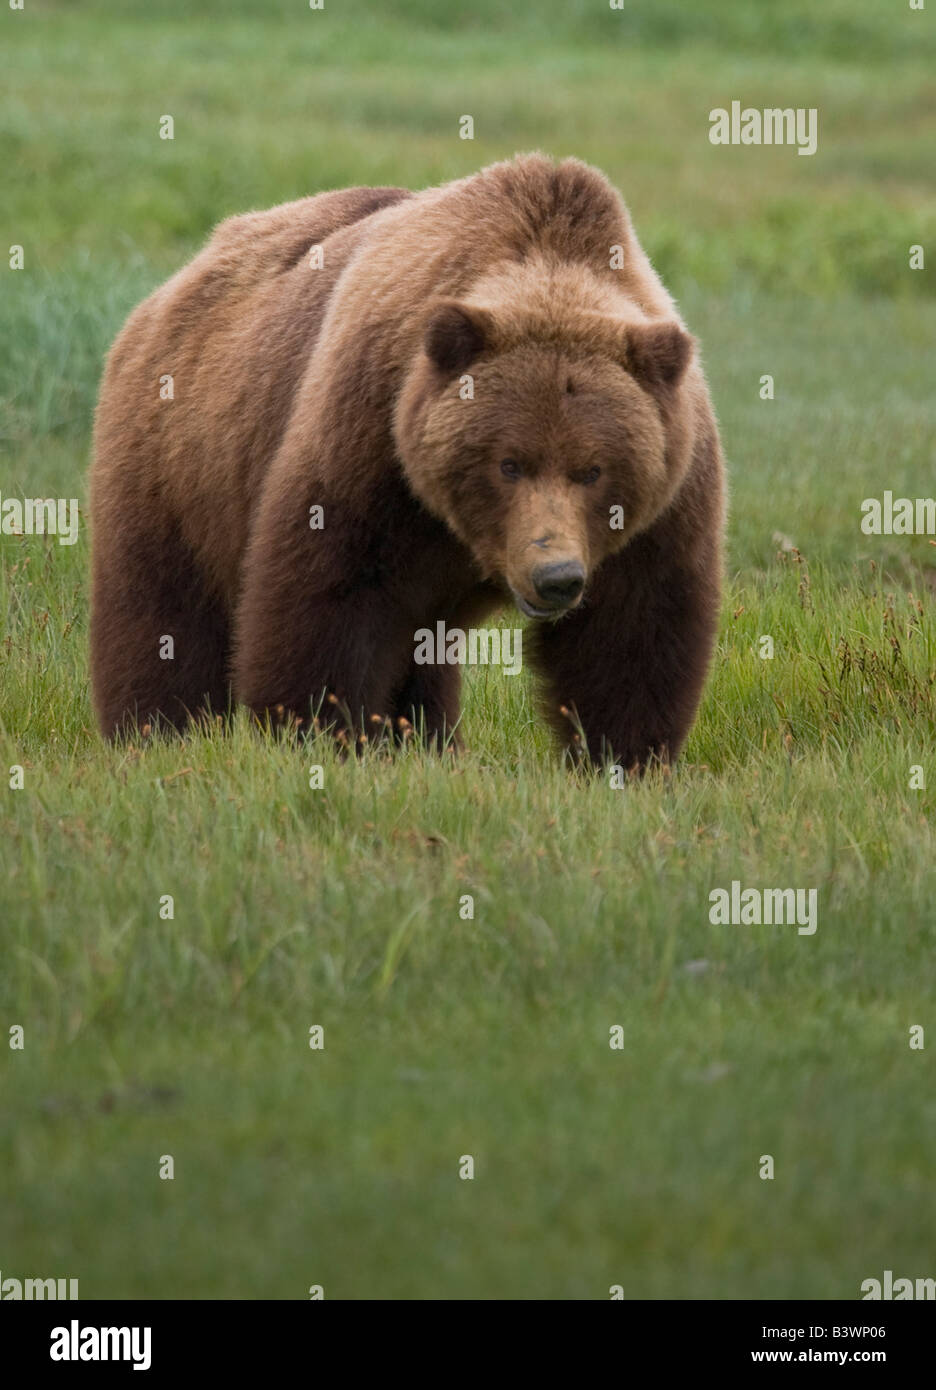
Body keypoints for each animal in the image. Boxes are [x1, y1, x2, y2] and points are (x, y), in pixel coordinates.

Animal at [90, 154, 725, 770]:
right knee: (163, 612)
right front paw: (321, 735)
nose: (557, 577)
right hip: (179, 460)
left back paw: (429, 744)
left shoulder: (665, 498)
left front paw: (624, 759)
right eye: (509, 463)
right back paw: (156, 732)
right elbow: (330, 600)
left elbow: (631, 633)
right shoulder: (370, 440)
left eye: (593, 469)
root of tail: (169, 289)